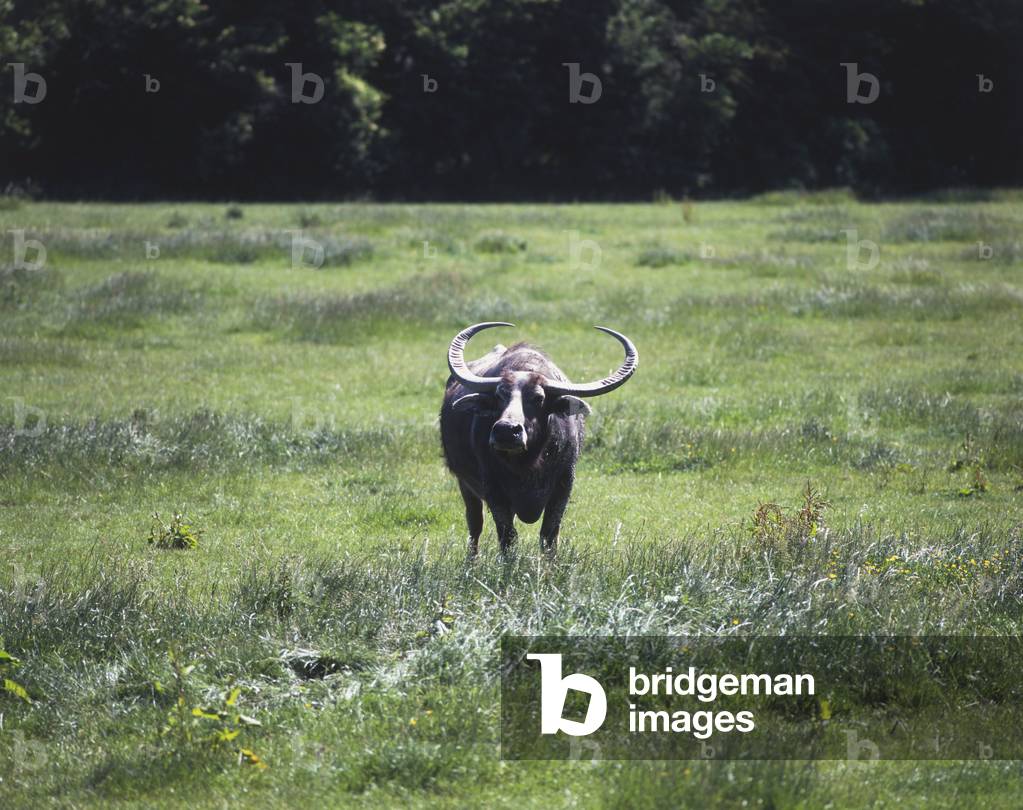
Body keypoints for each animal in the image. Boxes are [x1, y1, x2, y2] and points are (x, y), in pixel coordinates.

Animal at [439, 322, 638, 555]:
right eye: (499, 395)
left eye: (538, 398)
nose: (506, 431)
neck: (527, 465)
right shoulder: (493, 490)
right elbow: (507, 538)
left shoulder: (563, 486)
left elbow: (549, 536)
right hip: (465, 485)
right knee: (475, 524)